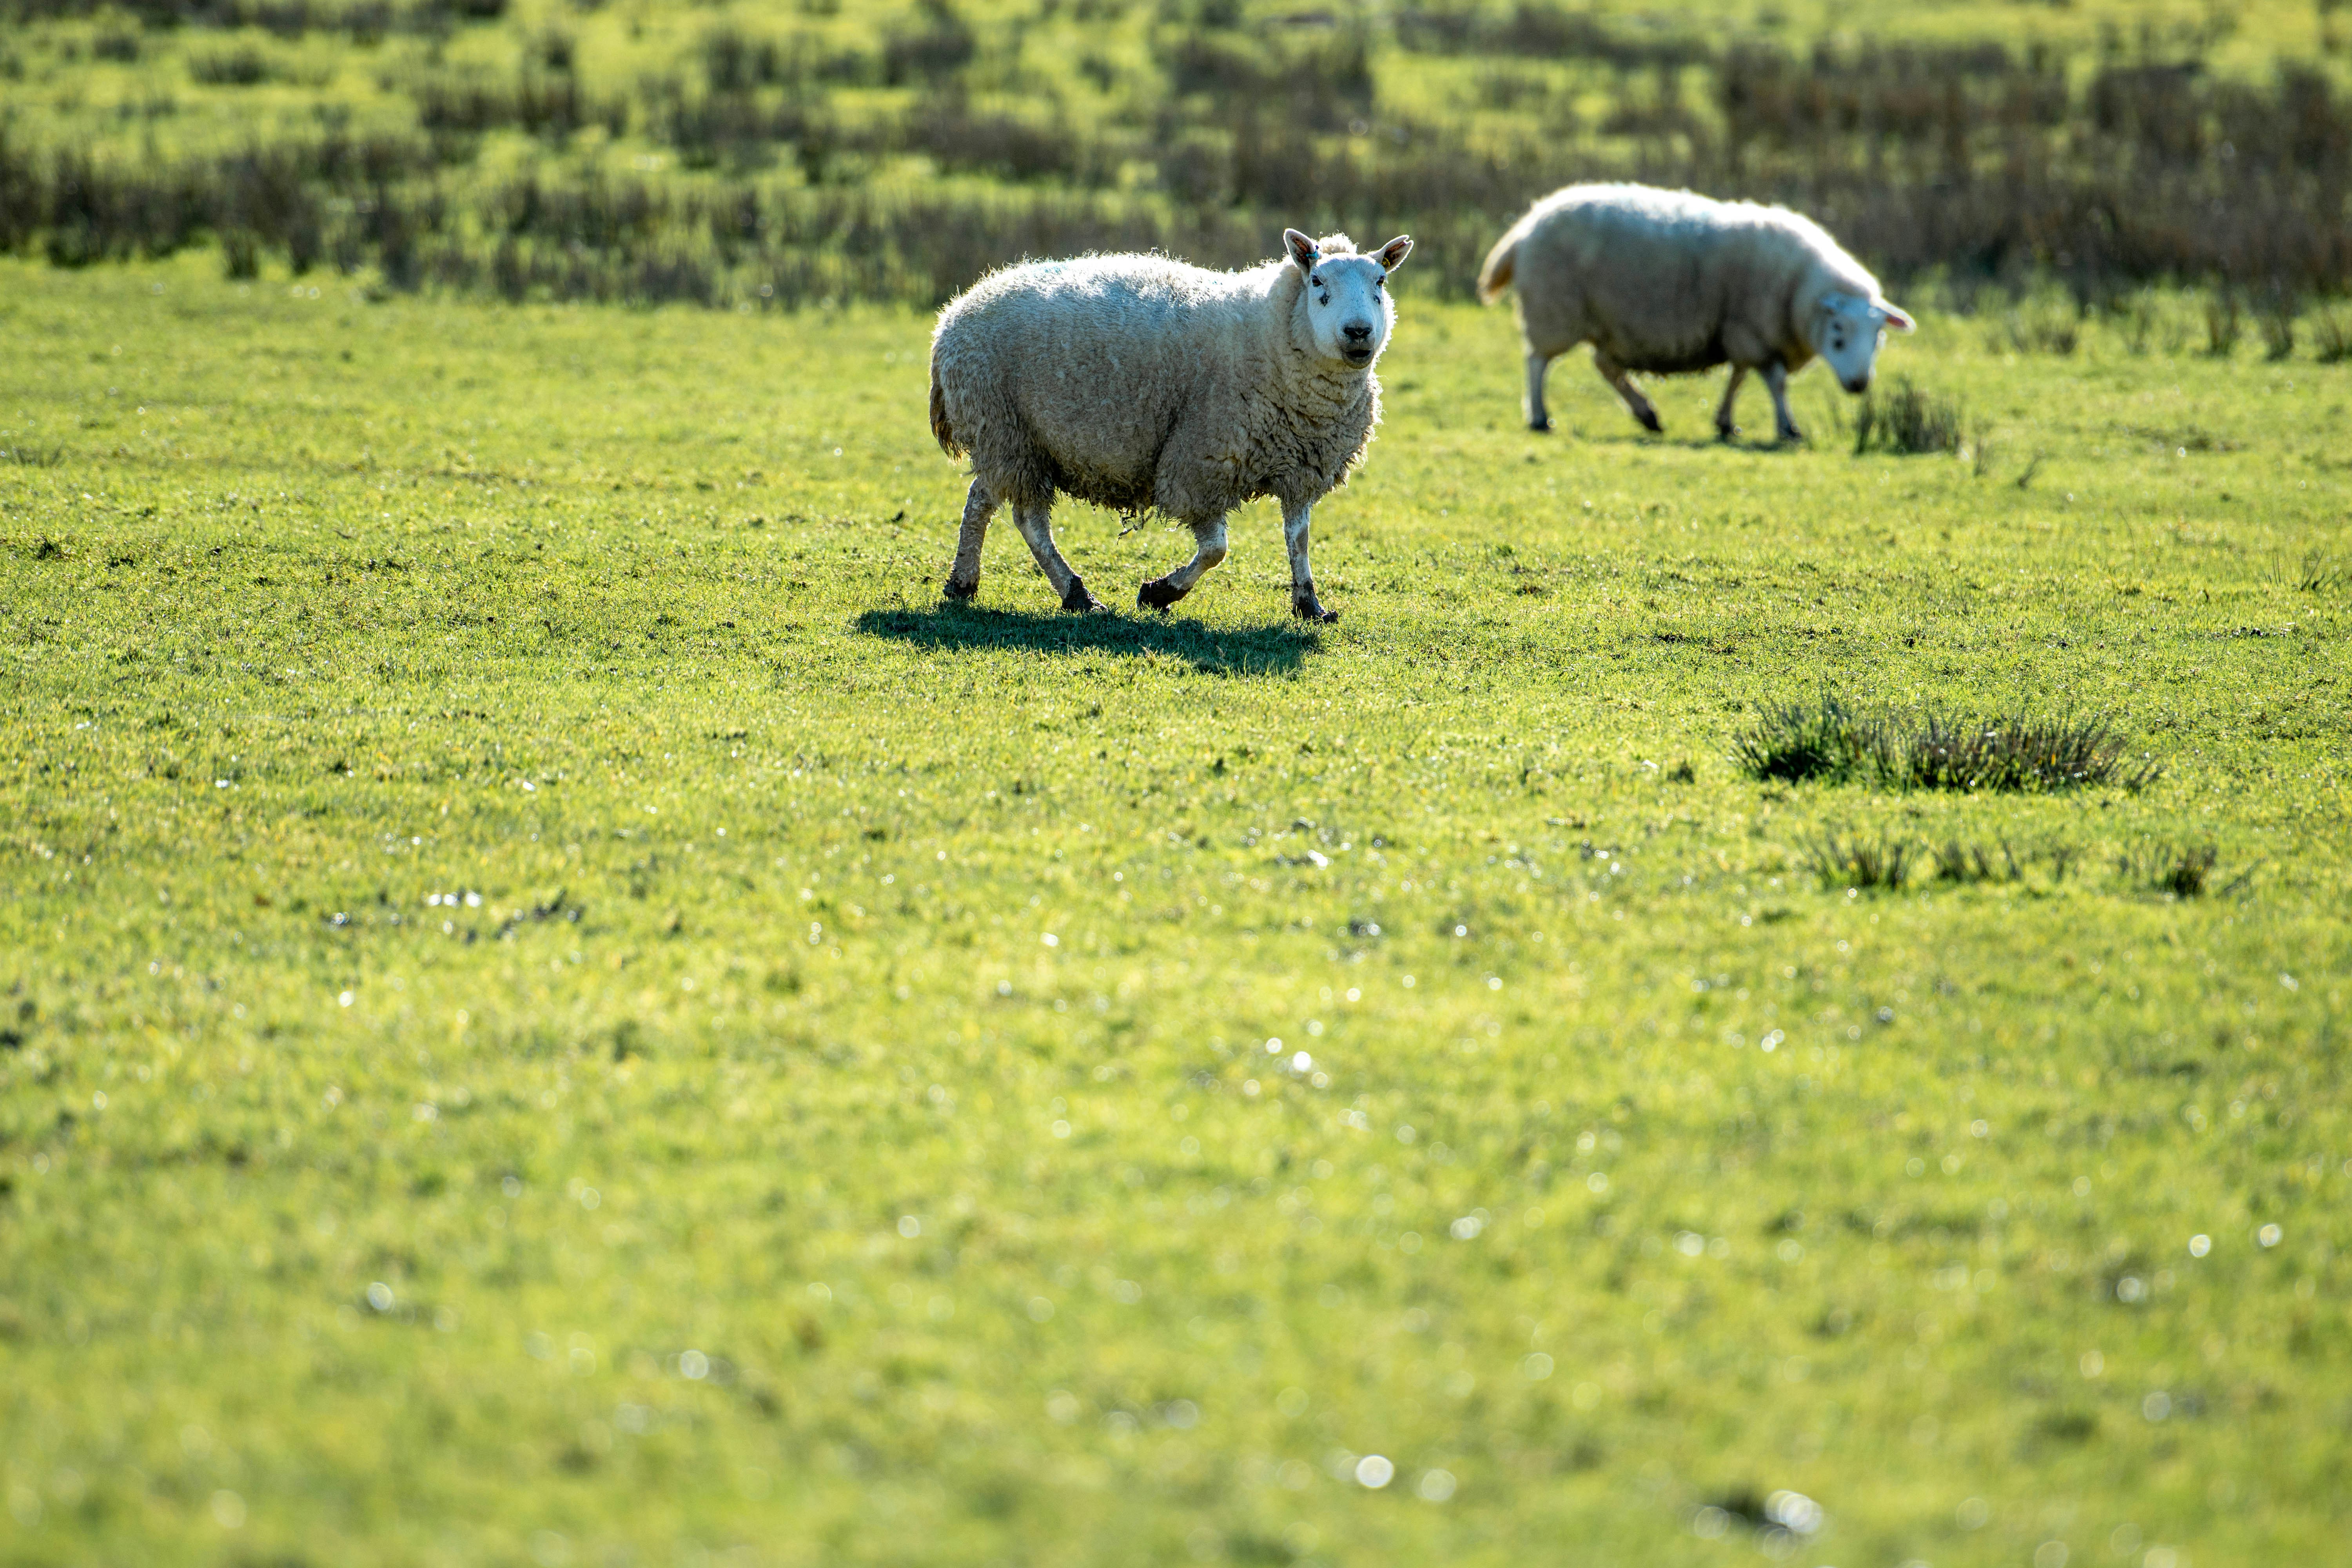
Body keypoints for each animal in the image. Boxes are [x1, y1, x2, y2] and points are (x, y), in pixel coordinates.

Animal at [929, 227, 1412, 622]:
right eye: (1317, 282)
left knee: (981, 499)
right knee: (1029, 520)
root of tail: (955, 313)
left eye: (1380, 283)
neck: (1272, 336)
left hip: (1008, 438)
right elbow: (1216, 549)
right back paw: (1077, 595)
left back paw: (963, 582)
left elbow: (1299, 538)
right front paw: (1160, 592)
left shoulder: (1300, 466)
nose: (1358, 332)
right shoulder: (1201, 461)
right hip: (1008, 429)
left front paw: (1309, 604)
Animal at [1476, 183, 1914, 443]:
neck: (1798, 289)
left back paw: (1646, 414)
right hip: (1555, 311)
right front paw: (1788, 428)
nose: (1858, 385)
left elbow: (1738, 377)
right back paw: (1539, 417)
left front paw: (1726, 422)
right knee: (1538, 362)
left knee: (1606, 365)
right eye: (1838, 332)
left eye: (1879, 338)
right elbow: (1774, 382)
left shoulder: (1741, 333)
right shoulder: (1752, 330)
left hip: (1602, 322)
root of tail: (1527, 226)